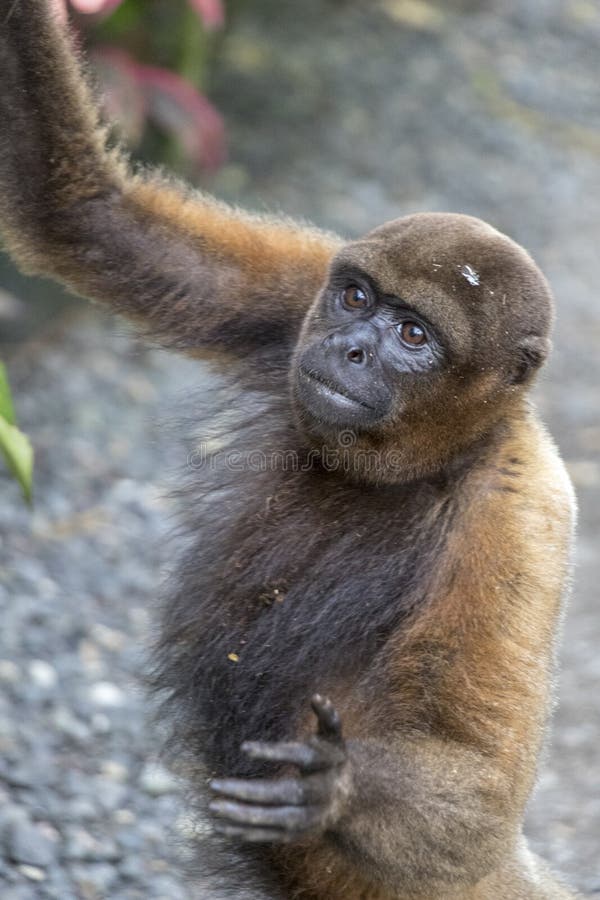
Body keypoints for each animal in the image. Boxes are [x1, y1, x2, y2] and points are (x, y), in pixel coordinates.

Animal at [0, 2, 579, 898]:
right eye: (357, 298)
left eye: (414, 336)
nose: (351, 349)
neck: (437, 454)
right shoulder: (301, 286)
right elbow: (89, 213)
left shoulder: (522, 516)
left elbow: (479, 796)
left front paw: (337, 788)